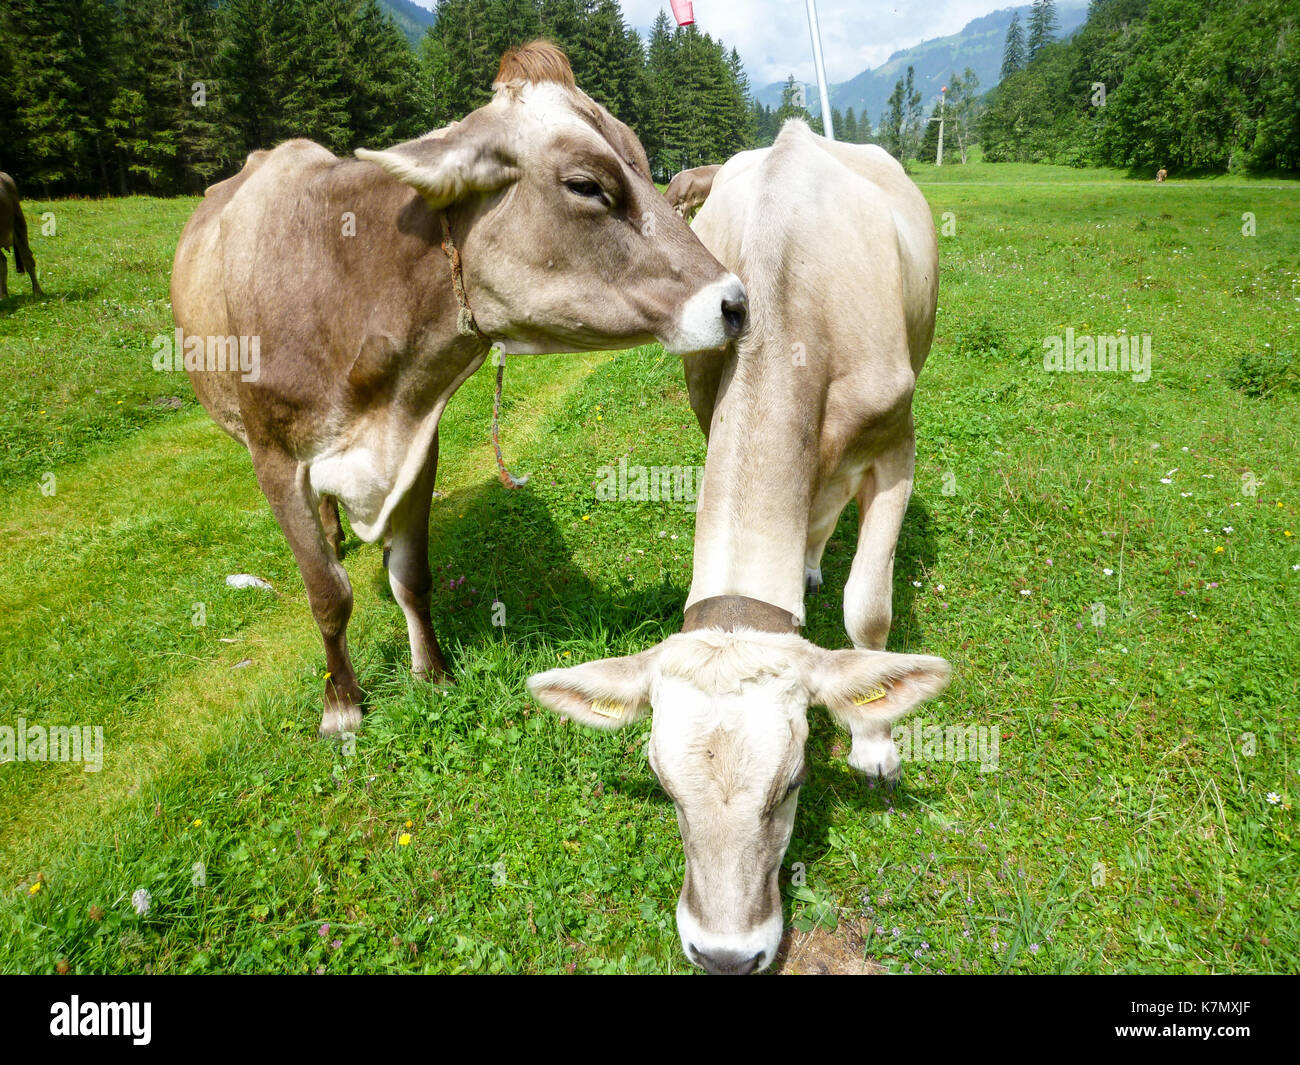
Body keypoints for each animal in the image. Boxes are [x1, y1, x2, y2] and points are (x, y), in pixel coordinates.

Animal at [171, 41, 747, 737]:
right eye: (586, 185)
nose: (736, 302)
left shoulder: (420, 444)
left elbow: (412, 576)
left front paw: (433, 672)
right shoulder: (275, 458)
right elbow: (327, 593)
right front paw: (343, 704)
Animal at [528, 120, 950, 974]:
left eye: (793, 781)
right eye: (663, 783)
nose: (724, 954)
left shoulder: (897, 443)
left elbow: (870, 607)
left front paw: (875, 743)